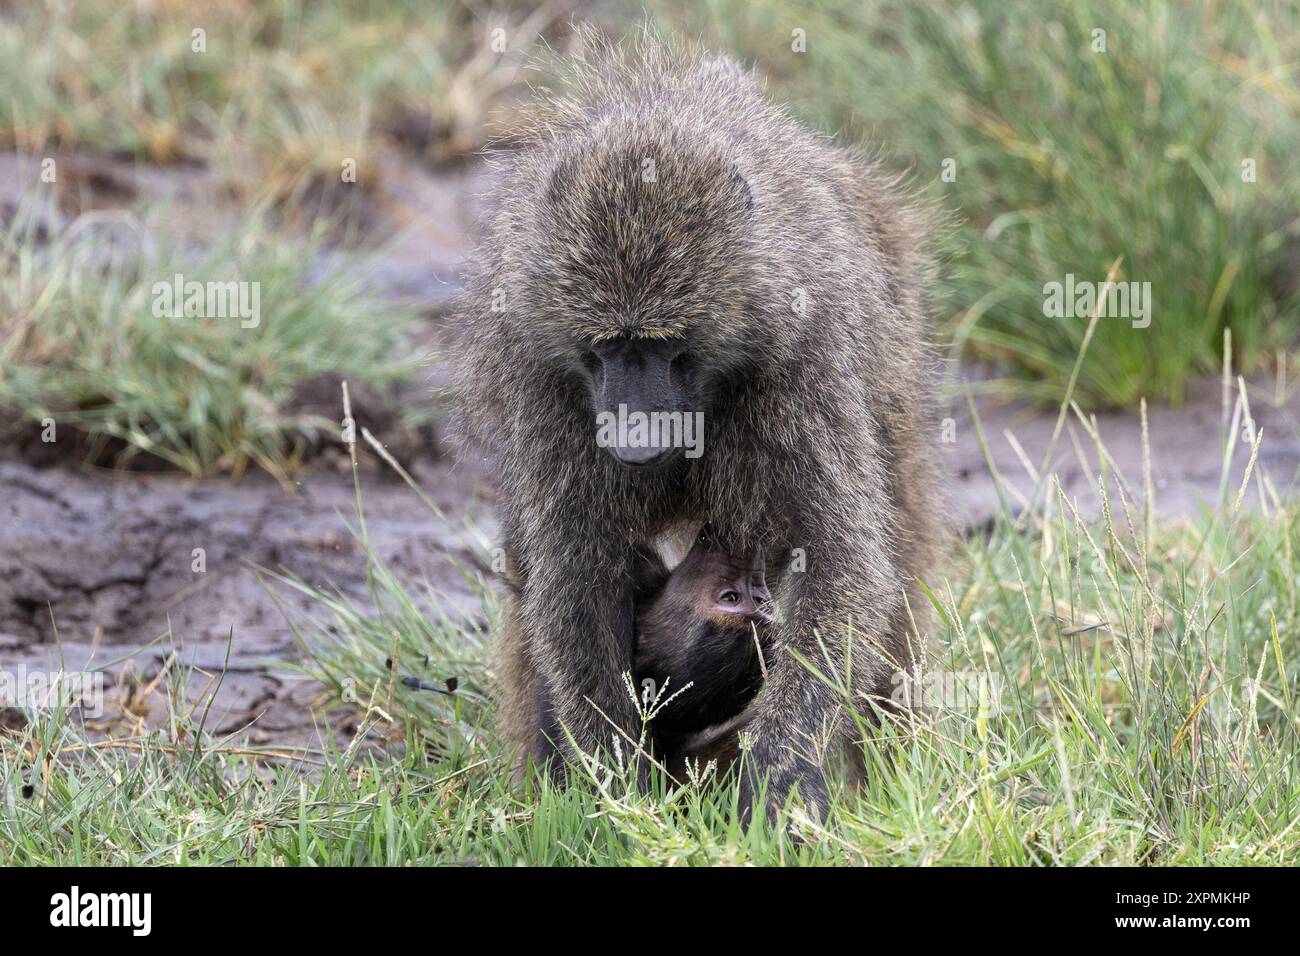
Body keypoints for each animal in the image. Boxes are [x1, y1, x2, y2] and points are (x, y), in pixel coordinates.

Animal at [455, 31, 942, 821]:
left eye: (668, 347)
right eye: (605, 348)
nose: (635, 441)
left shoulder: (807, 354)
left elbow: (846, 564)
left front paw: (782, 773)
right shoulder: (542, 370)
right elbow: (573, 570)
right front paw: (612, 785)